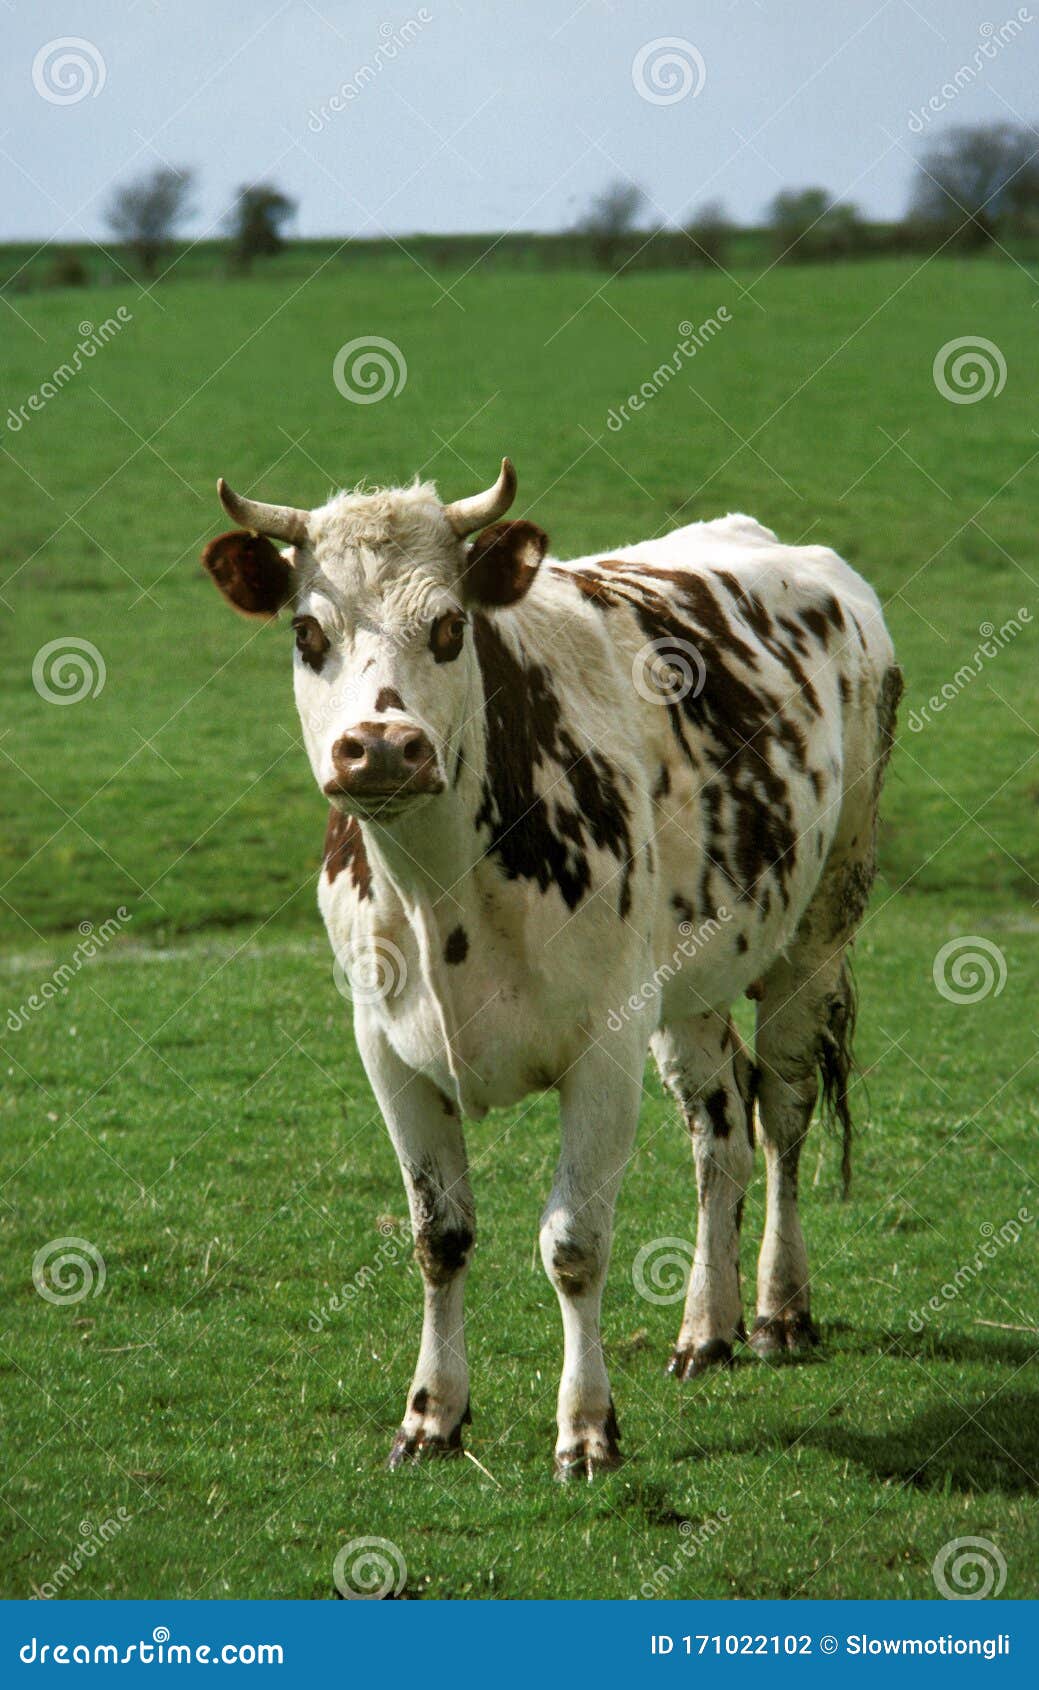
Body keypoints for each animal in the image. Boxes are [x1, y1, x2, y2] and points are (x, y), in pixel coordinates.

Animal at [201, 458, 901, 1479]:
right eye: (307, 632)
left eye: (449, 626)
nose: (381, 748)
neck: (440, 893)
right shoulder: (387, 1051)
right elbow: (438, 1237)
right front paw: (430, 1417)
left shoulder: (602, 1048)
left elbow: (574, 1244)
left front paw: (585, 1428)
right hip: (684, 979)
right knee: (718, 1128)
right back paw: (706, 1328)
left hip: (817, 925)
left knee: (781, 1111)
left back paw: (778, 1309)